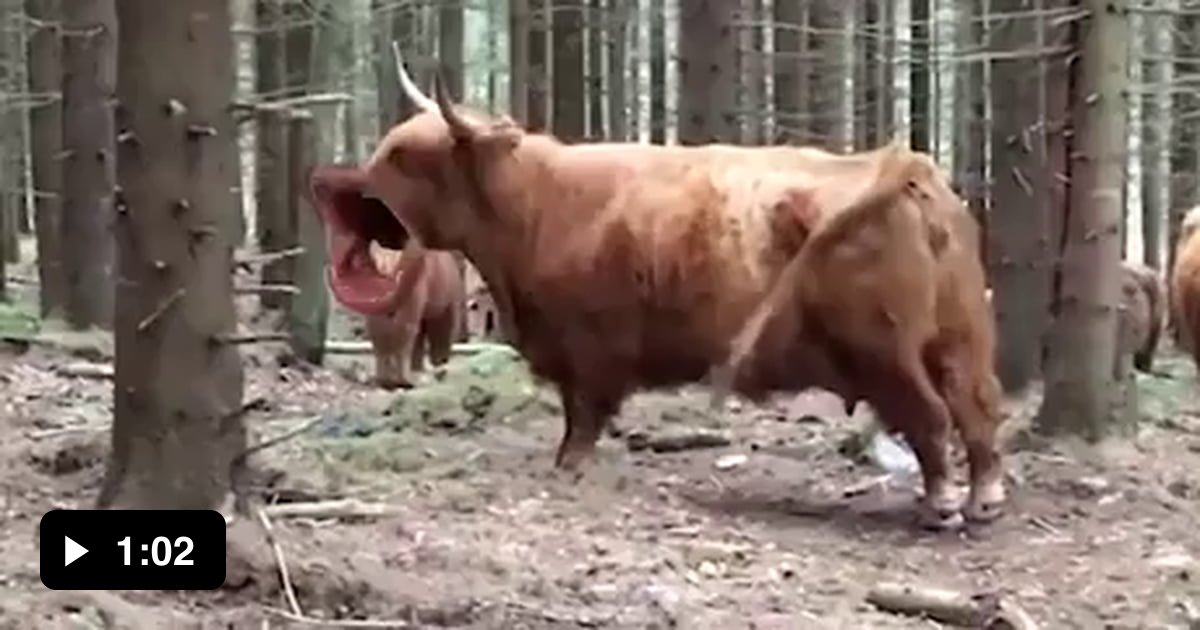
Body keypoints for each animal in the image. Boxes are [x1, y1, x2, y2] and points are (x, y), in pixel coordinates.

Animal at [306, 60, 1004, 529]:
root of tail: (906, 168)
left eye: (405, 158)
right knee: (977, 411)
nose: (347, 185)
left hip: (884, 348)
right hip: (959, 336)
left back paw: (942, 505)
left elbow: (583, 413)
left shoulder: (589, 344)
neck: (533, 205)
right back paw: (983, 499)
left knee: (931, 416)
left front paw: (568, 467)